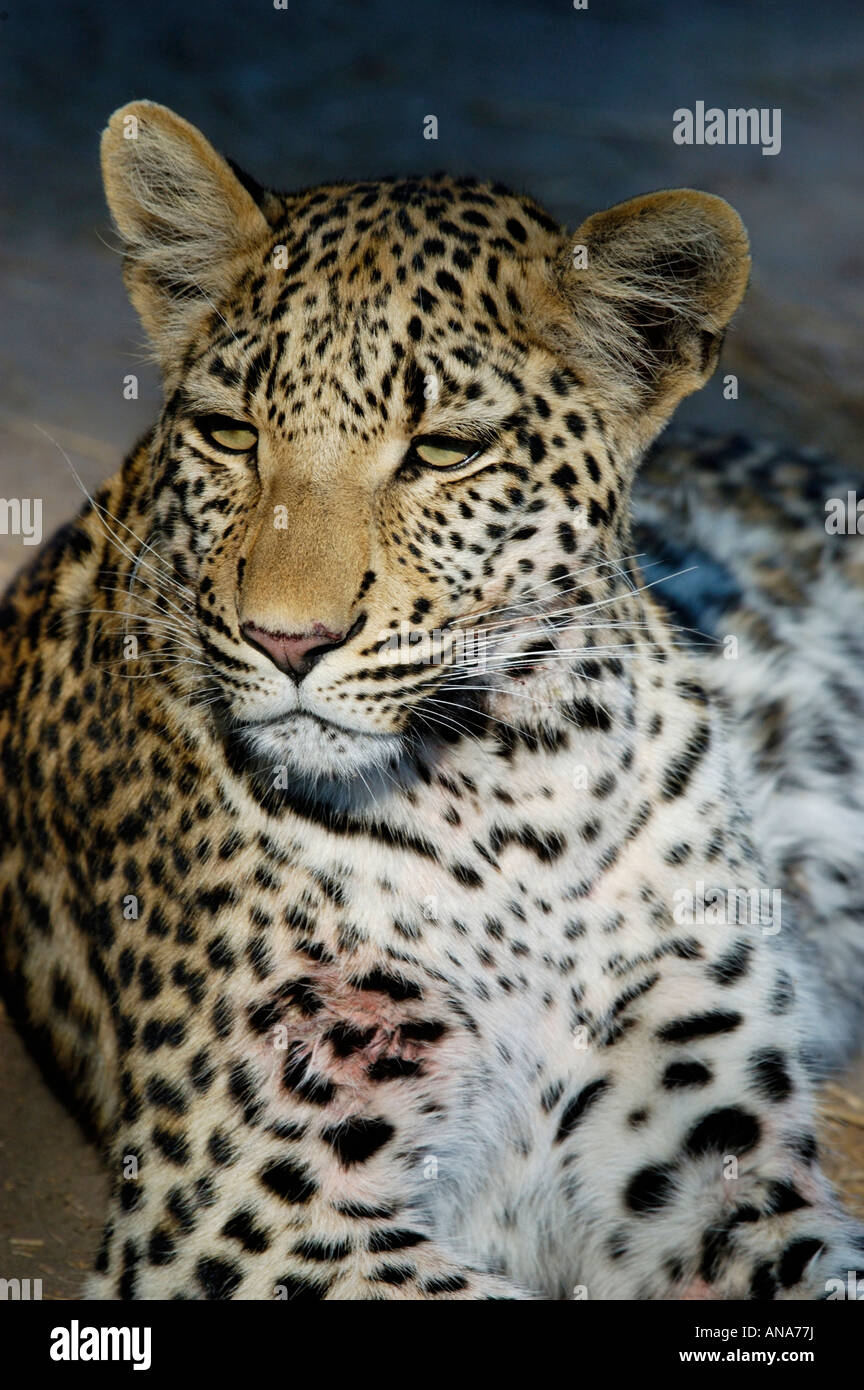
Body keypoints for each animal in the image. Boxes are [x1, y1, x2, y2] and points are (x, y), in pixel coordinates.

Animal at [2, 98, 863, 1301]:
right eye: (231, 433)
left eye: (444, 452)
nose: (287, 639)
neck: (529, 788)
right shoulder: (244, 1203)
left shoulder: (708, 1146)